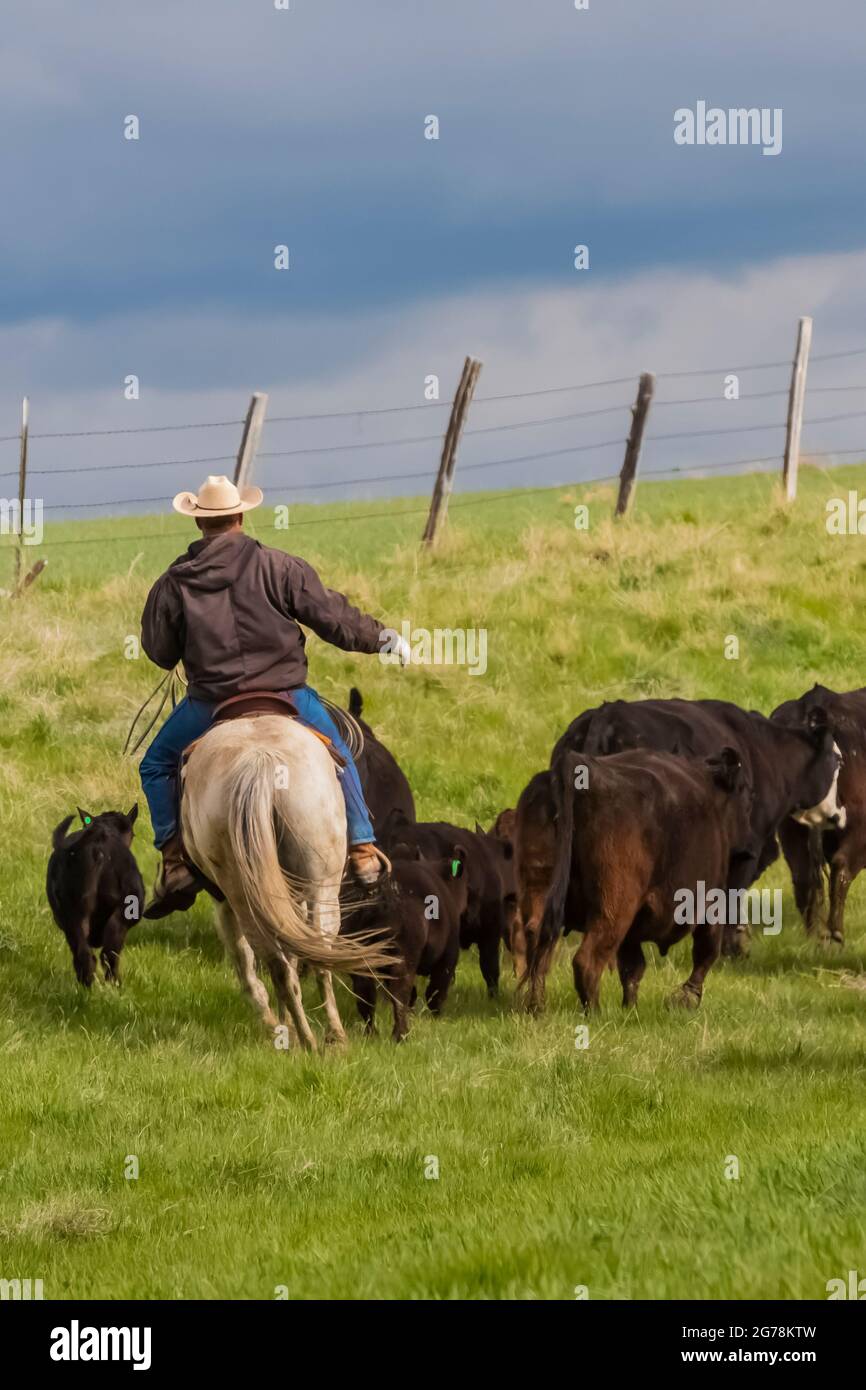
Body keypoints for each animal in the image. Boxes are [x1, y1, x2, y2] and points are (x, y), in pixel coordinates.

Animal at [524, 747, 752, 1013]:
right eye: (743, 792)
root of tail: (579, 765)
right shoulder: (712, 902)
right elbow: (706, 953)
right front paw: (687, 998)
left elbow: (632, 968)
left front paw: (630, 1008)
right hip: (614, 907)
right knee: (587, 960)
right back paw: (595, 1012)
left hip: (542, 894)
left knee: (538, 946)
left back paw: (537, 1007)